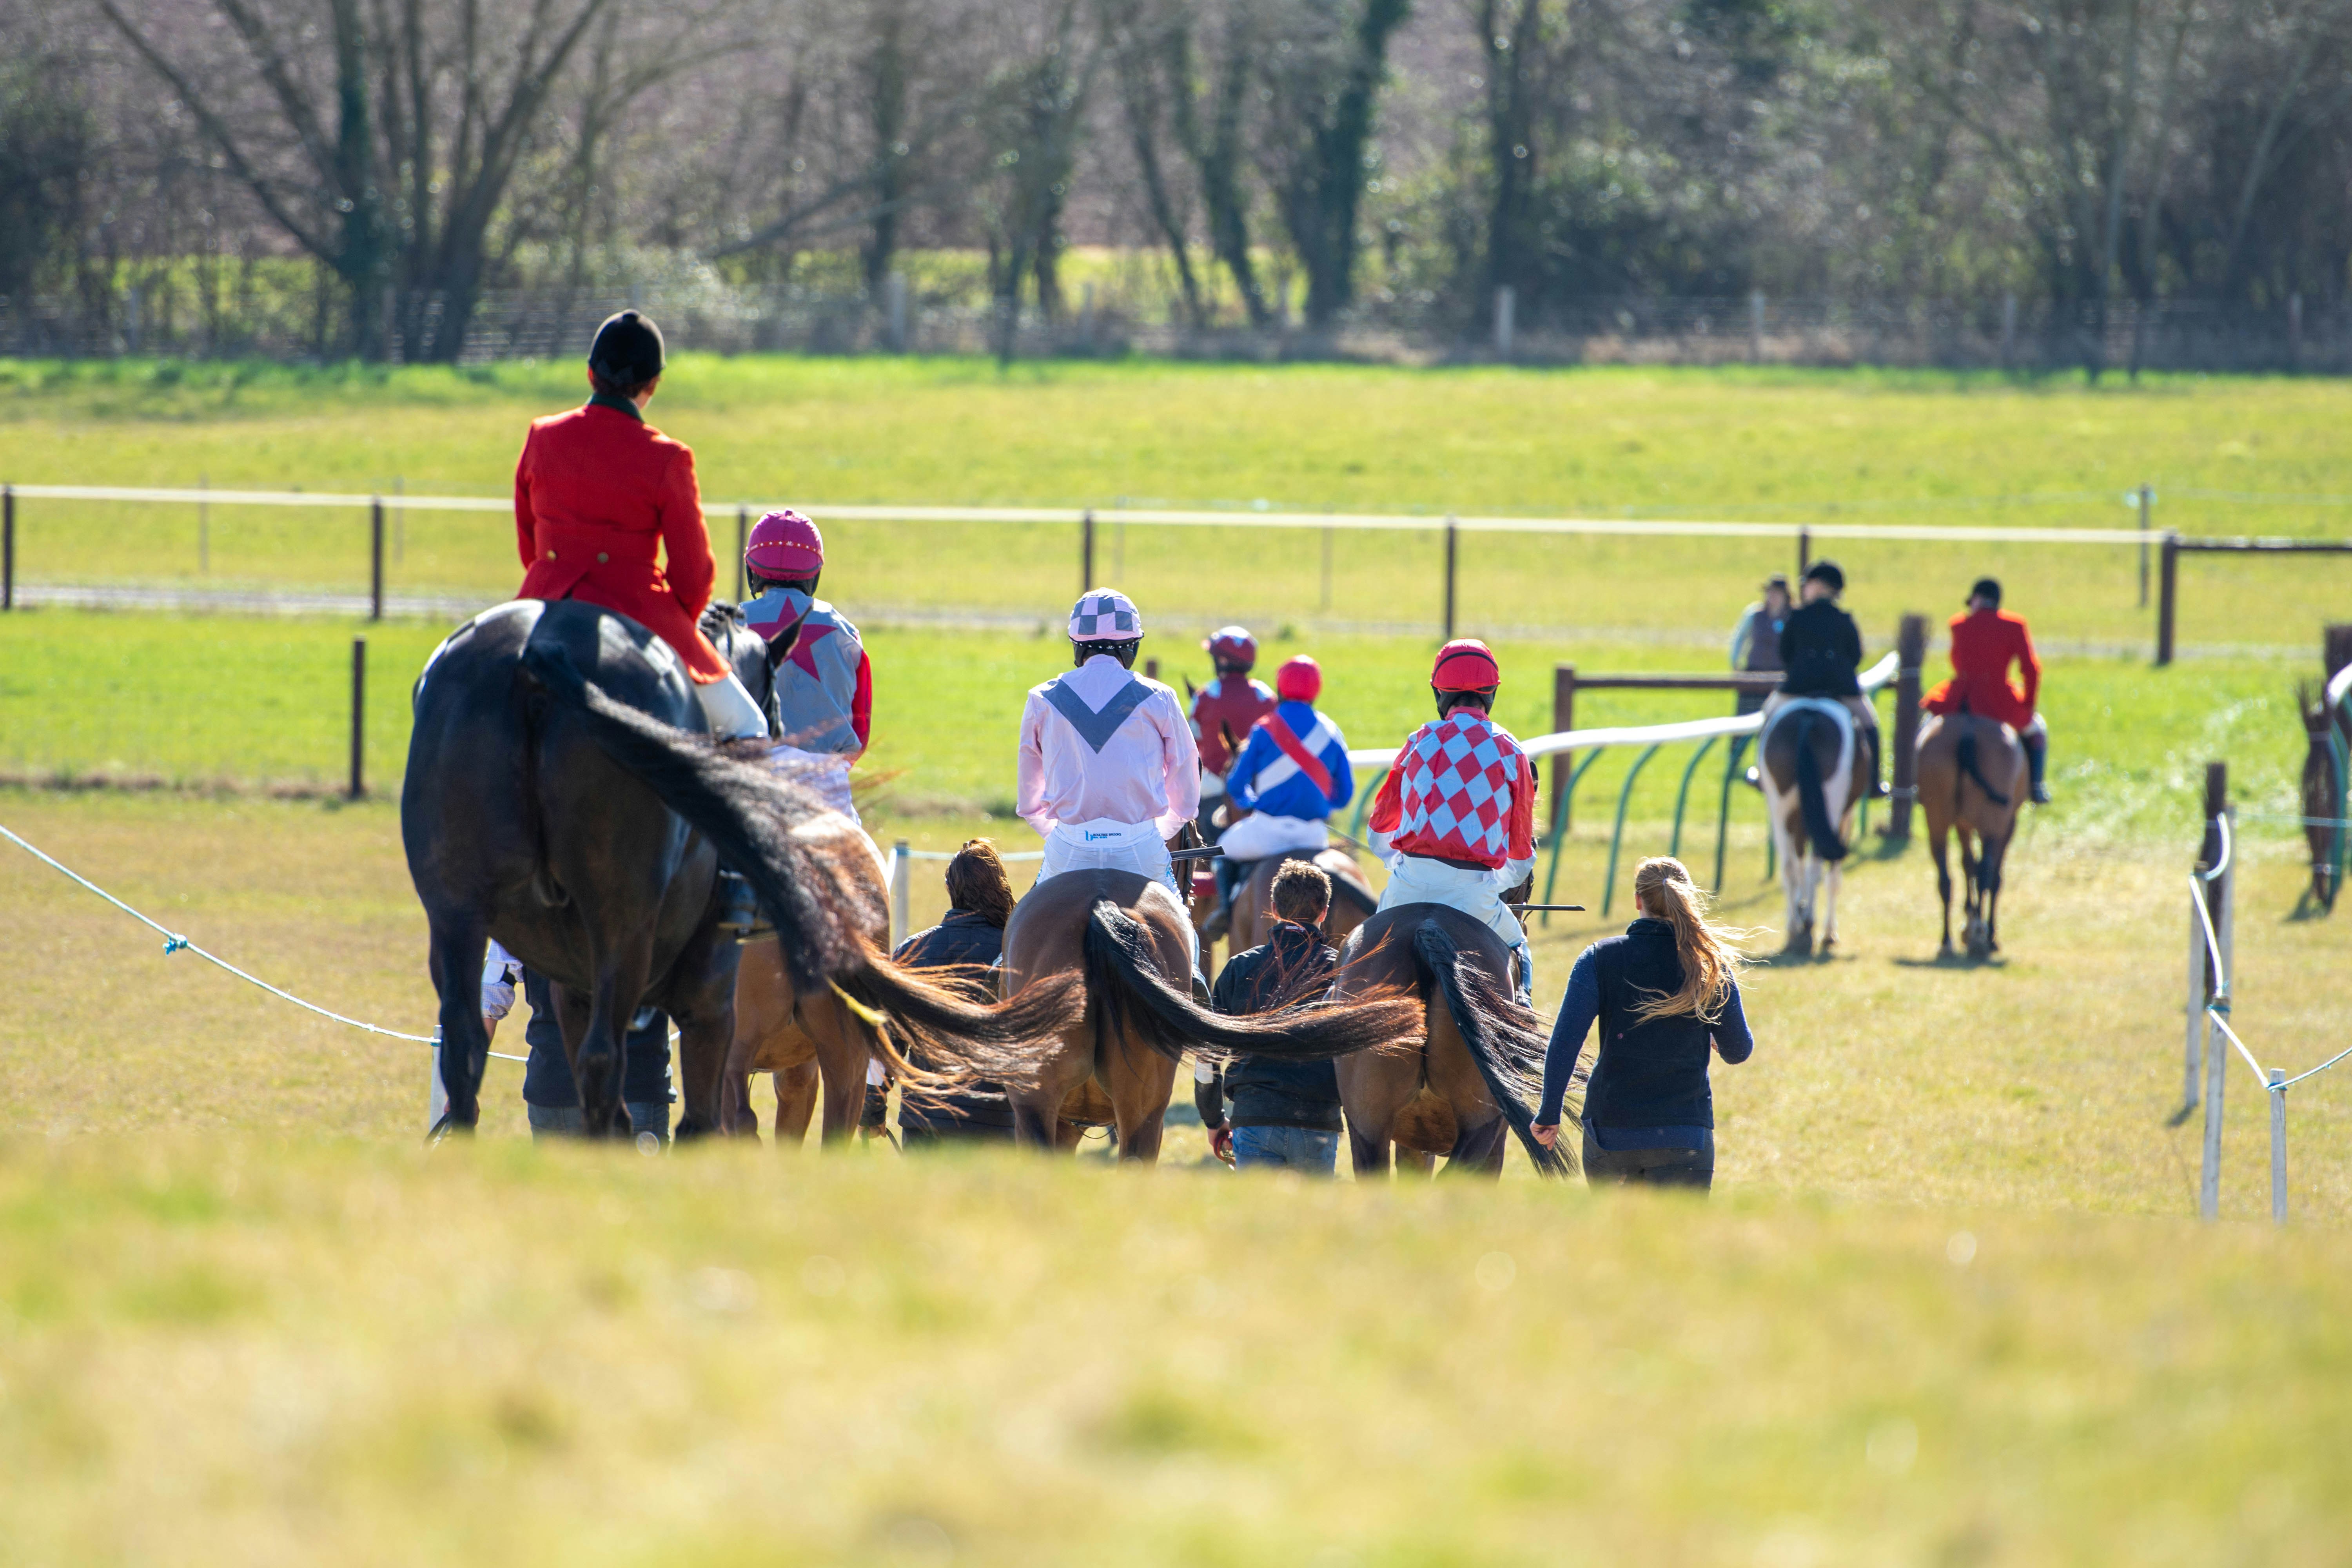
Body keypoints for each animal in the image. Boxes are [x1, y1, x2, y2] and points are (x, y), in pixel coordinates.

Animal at [1756, 699, 1872, 957]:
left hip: (1779, 808)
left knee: (1789, 867)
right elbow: (1832, 878)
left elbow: (1798, 862)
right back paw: (1810, 925)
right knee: (1818, 867)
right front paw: (1828, 933)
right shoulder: (1845, 817)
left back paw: (1794, 929)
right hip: (1832, 807)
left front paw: (1800, 908)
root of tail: (1808, 716)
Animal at [1916, 711, 2027, 959]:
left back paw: (1947, 941)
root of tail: (1968, 731)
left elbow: (1968, 864)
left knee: (1946, 879)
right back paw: (1981, 937)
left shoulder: (1962, 824)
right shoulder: (2008, 825)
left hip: (1937, 820)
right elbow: (1992, 876)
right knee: (1987, 873)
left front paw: (1968, 920)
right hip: (1995, 824)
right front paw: (1982, 931)